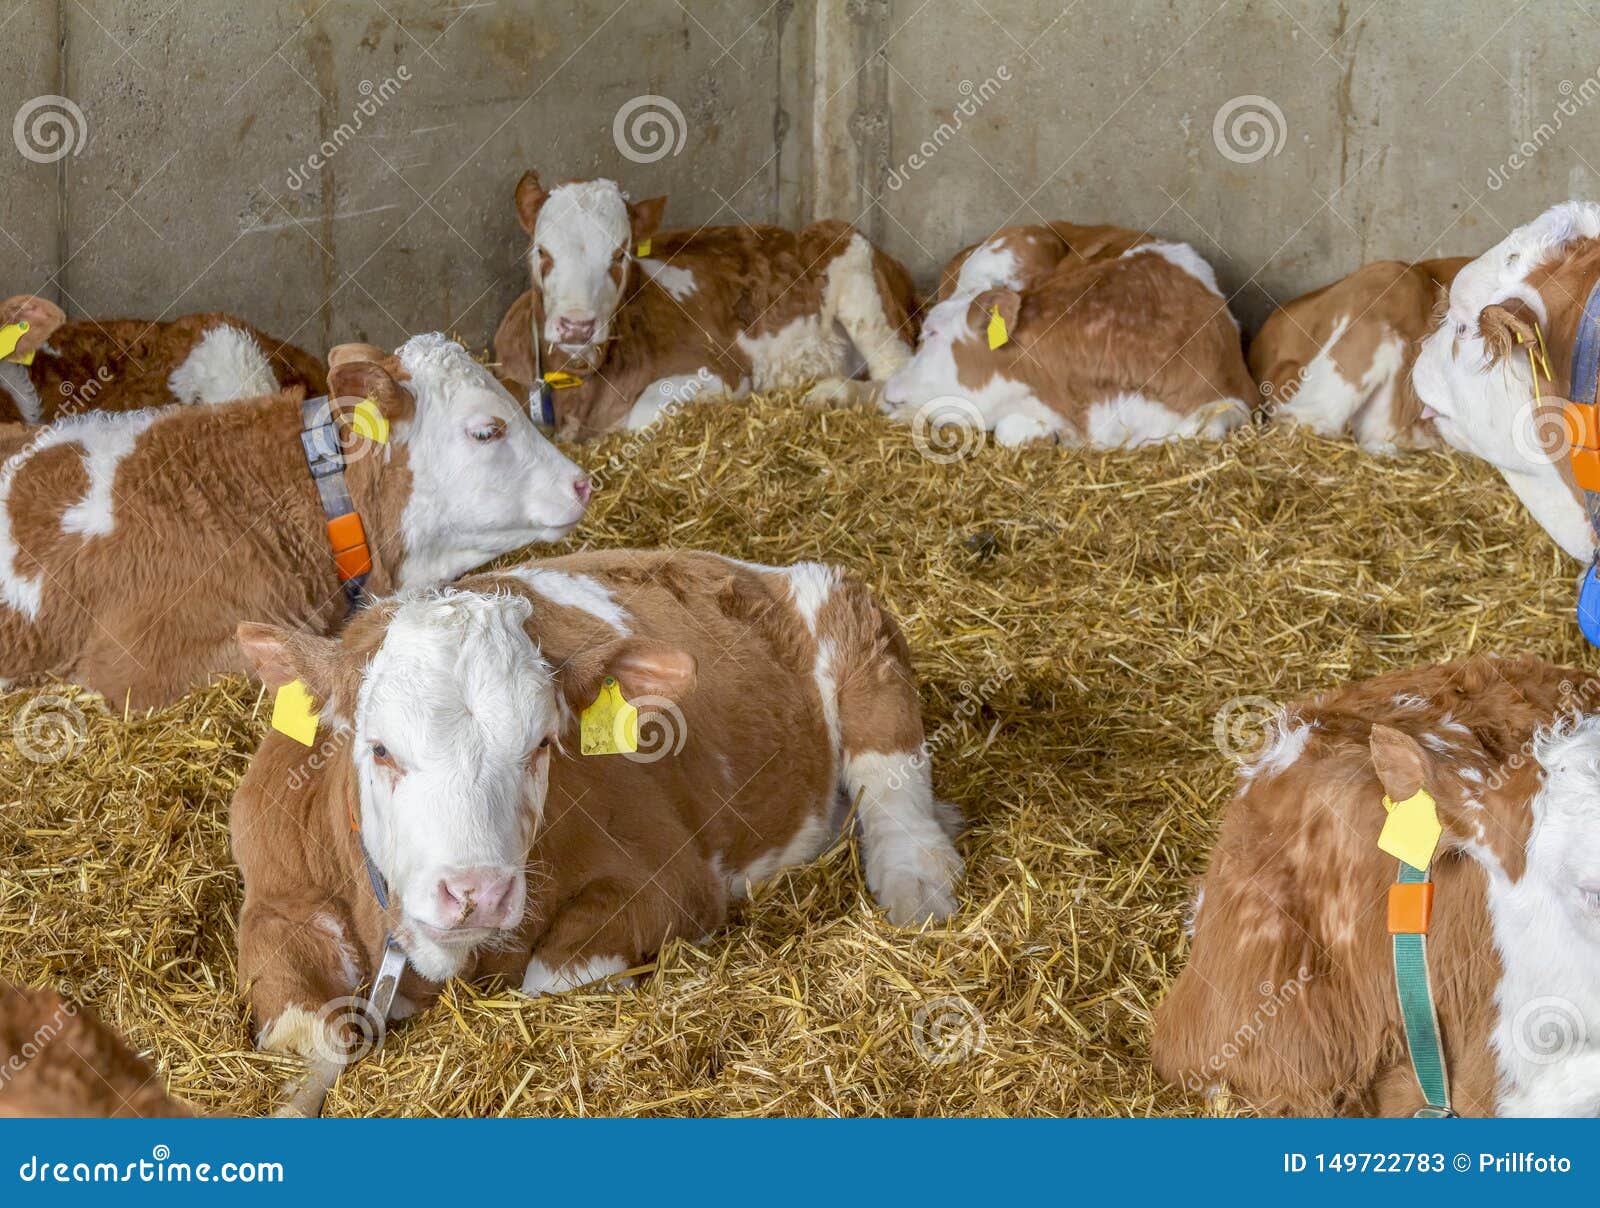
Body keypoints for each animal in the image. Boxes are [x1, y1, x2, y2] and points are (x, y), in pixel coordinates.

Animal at [229, 549, 964, 1114]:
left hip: (858, 631)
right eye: (380, 751)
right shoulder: (275, 894)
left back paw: (919, 885)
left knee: (895, 782)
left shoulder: (677, 880)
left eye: (542, 745)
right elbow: (306, 1026)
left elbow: (552, 980)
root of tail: (760, 570)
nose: (476, 892)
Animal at [492, 172, 919, 439]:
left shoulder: (719, 371)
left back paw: (833, 393)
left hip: (861, 286)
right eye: (541, 251)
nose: (577, 325)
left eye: (620, 254)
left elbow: (641, 418)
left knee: (897, 374)